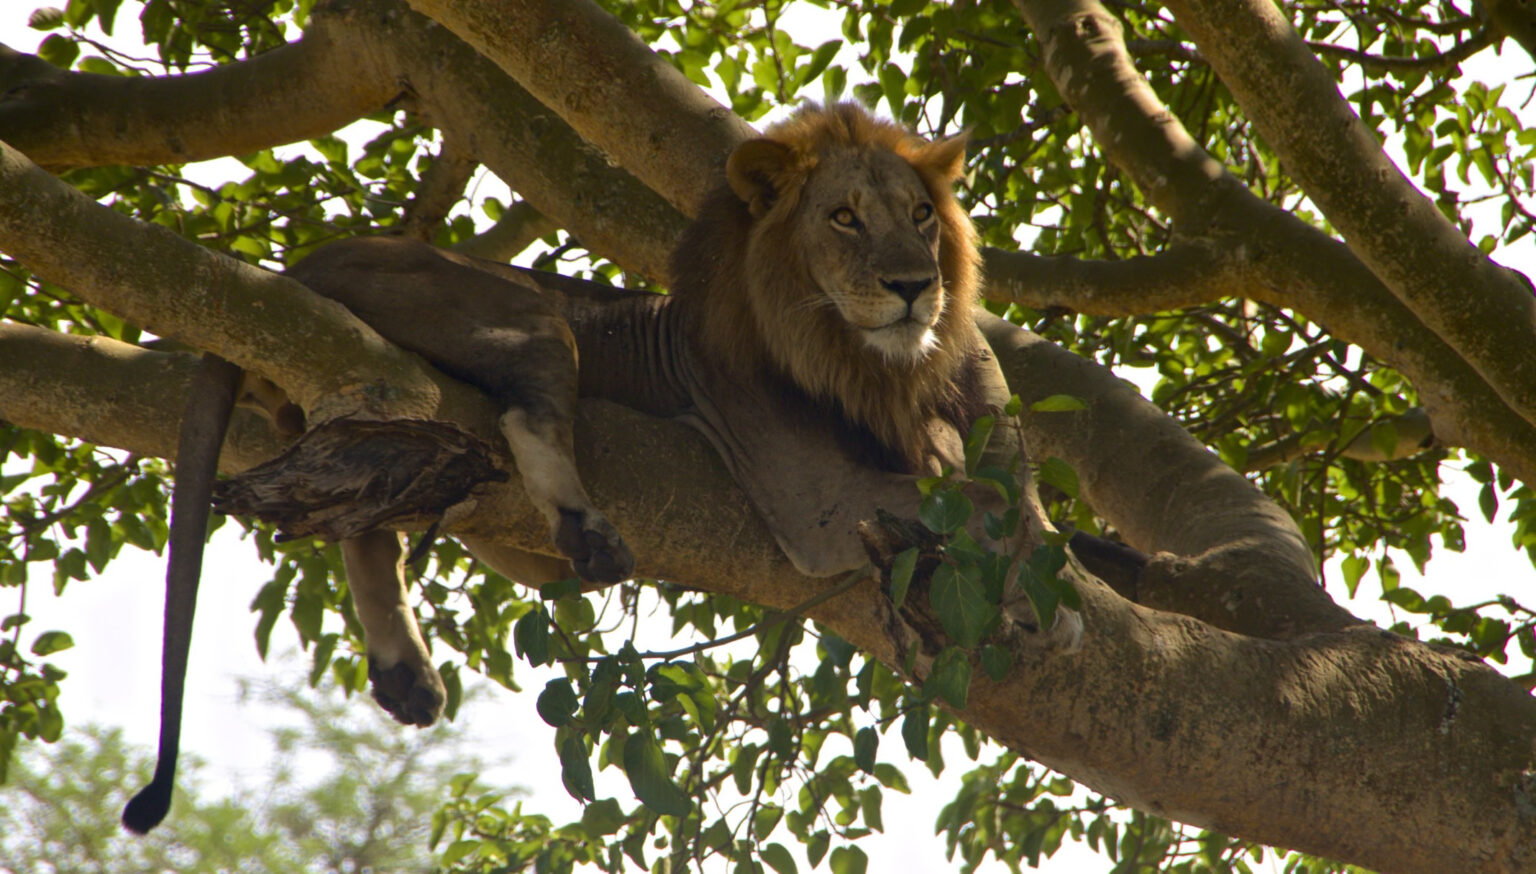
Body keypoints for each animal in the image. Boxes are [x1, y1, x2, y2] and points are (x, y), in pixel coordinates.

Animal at [125, 102, 1026, 832]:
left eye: (922, 215)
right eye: (843, 218)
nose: (916, 285)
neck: (880, 367)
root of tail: (293, 266)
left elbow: (1010, 500)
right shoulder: (813, 499)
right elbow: (990, 509)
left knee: (370, 513)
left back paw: (405, 672)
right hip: (525, 314)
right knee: (526, 415)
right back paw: (587, 533)